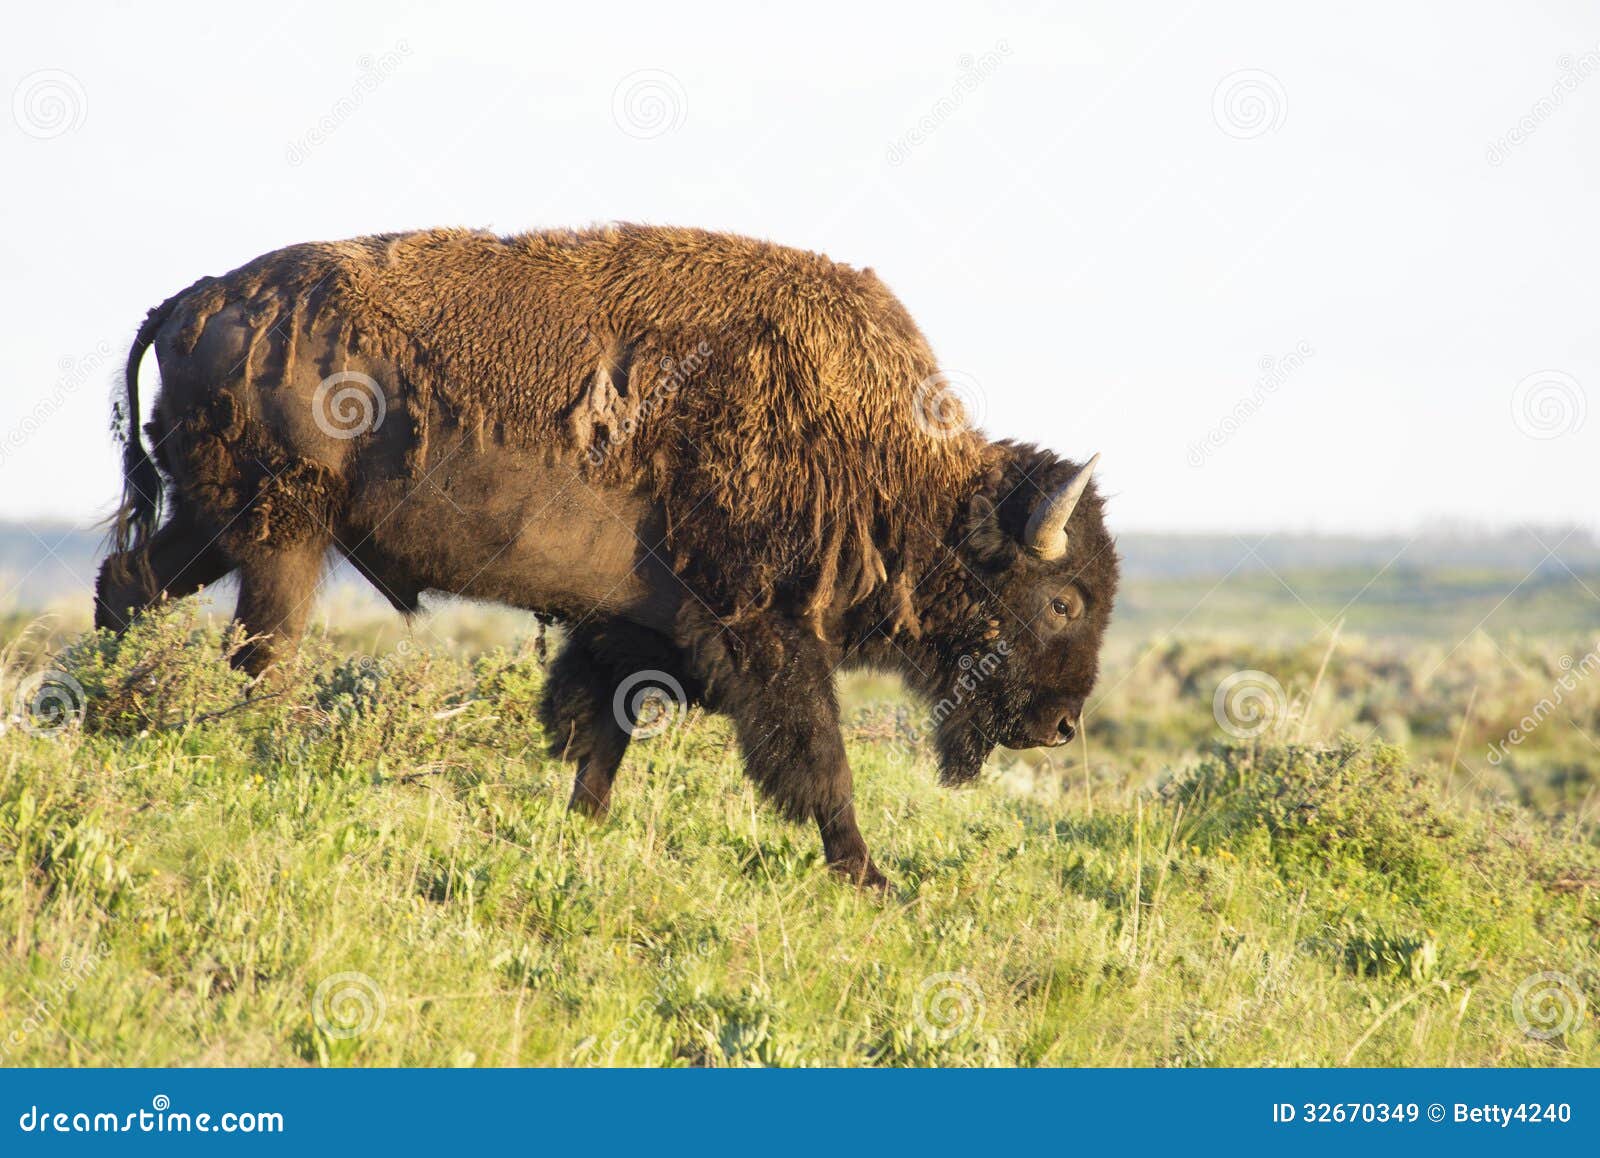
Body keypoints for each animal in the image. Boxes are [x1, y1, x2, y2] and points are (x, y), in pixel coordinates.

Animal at [96, 225, 1118, 887]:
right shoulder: (767, 632)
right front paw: (869, 875)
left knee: (132, 582)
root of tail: (192, 302)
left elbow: (602, 734)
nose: (1062, 726)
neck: (888, 461)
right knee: (259, 653)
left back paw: (101, 708)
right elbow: (819, 758)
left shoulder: (635, 629)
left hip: (221, 523)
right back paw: (235, 745)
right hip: (280, 534)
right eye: (1062, 600)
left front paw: (581, 827)